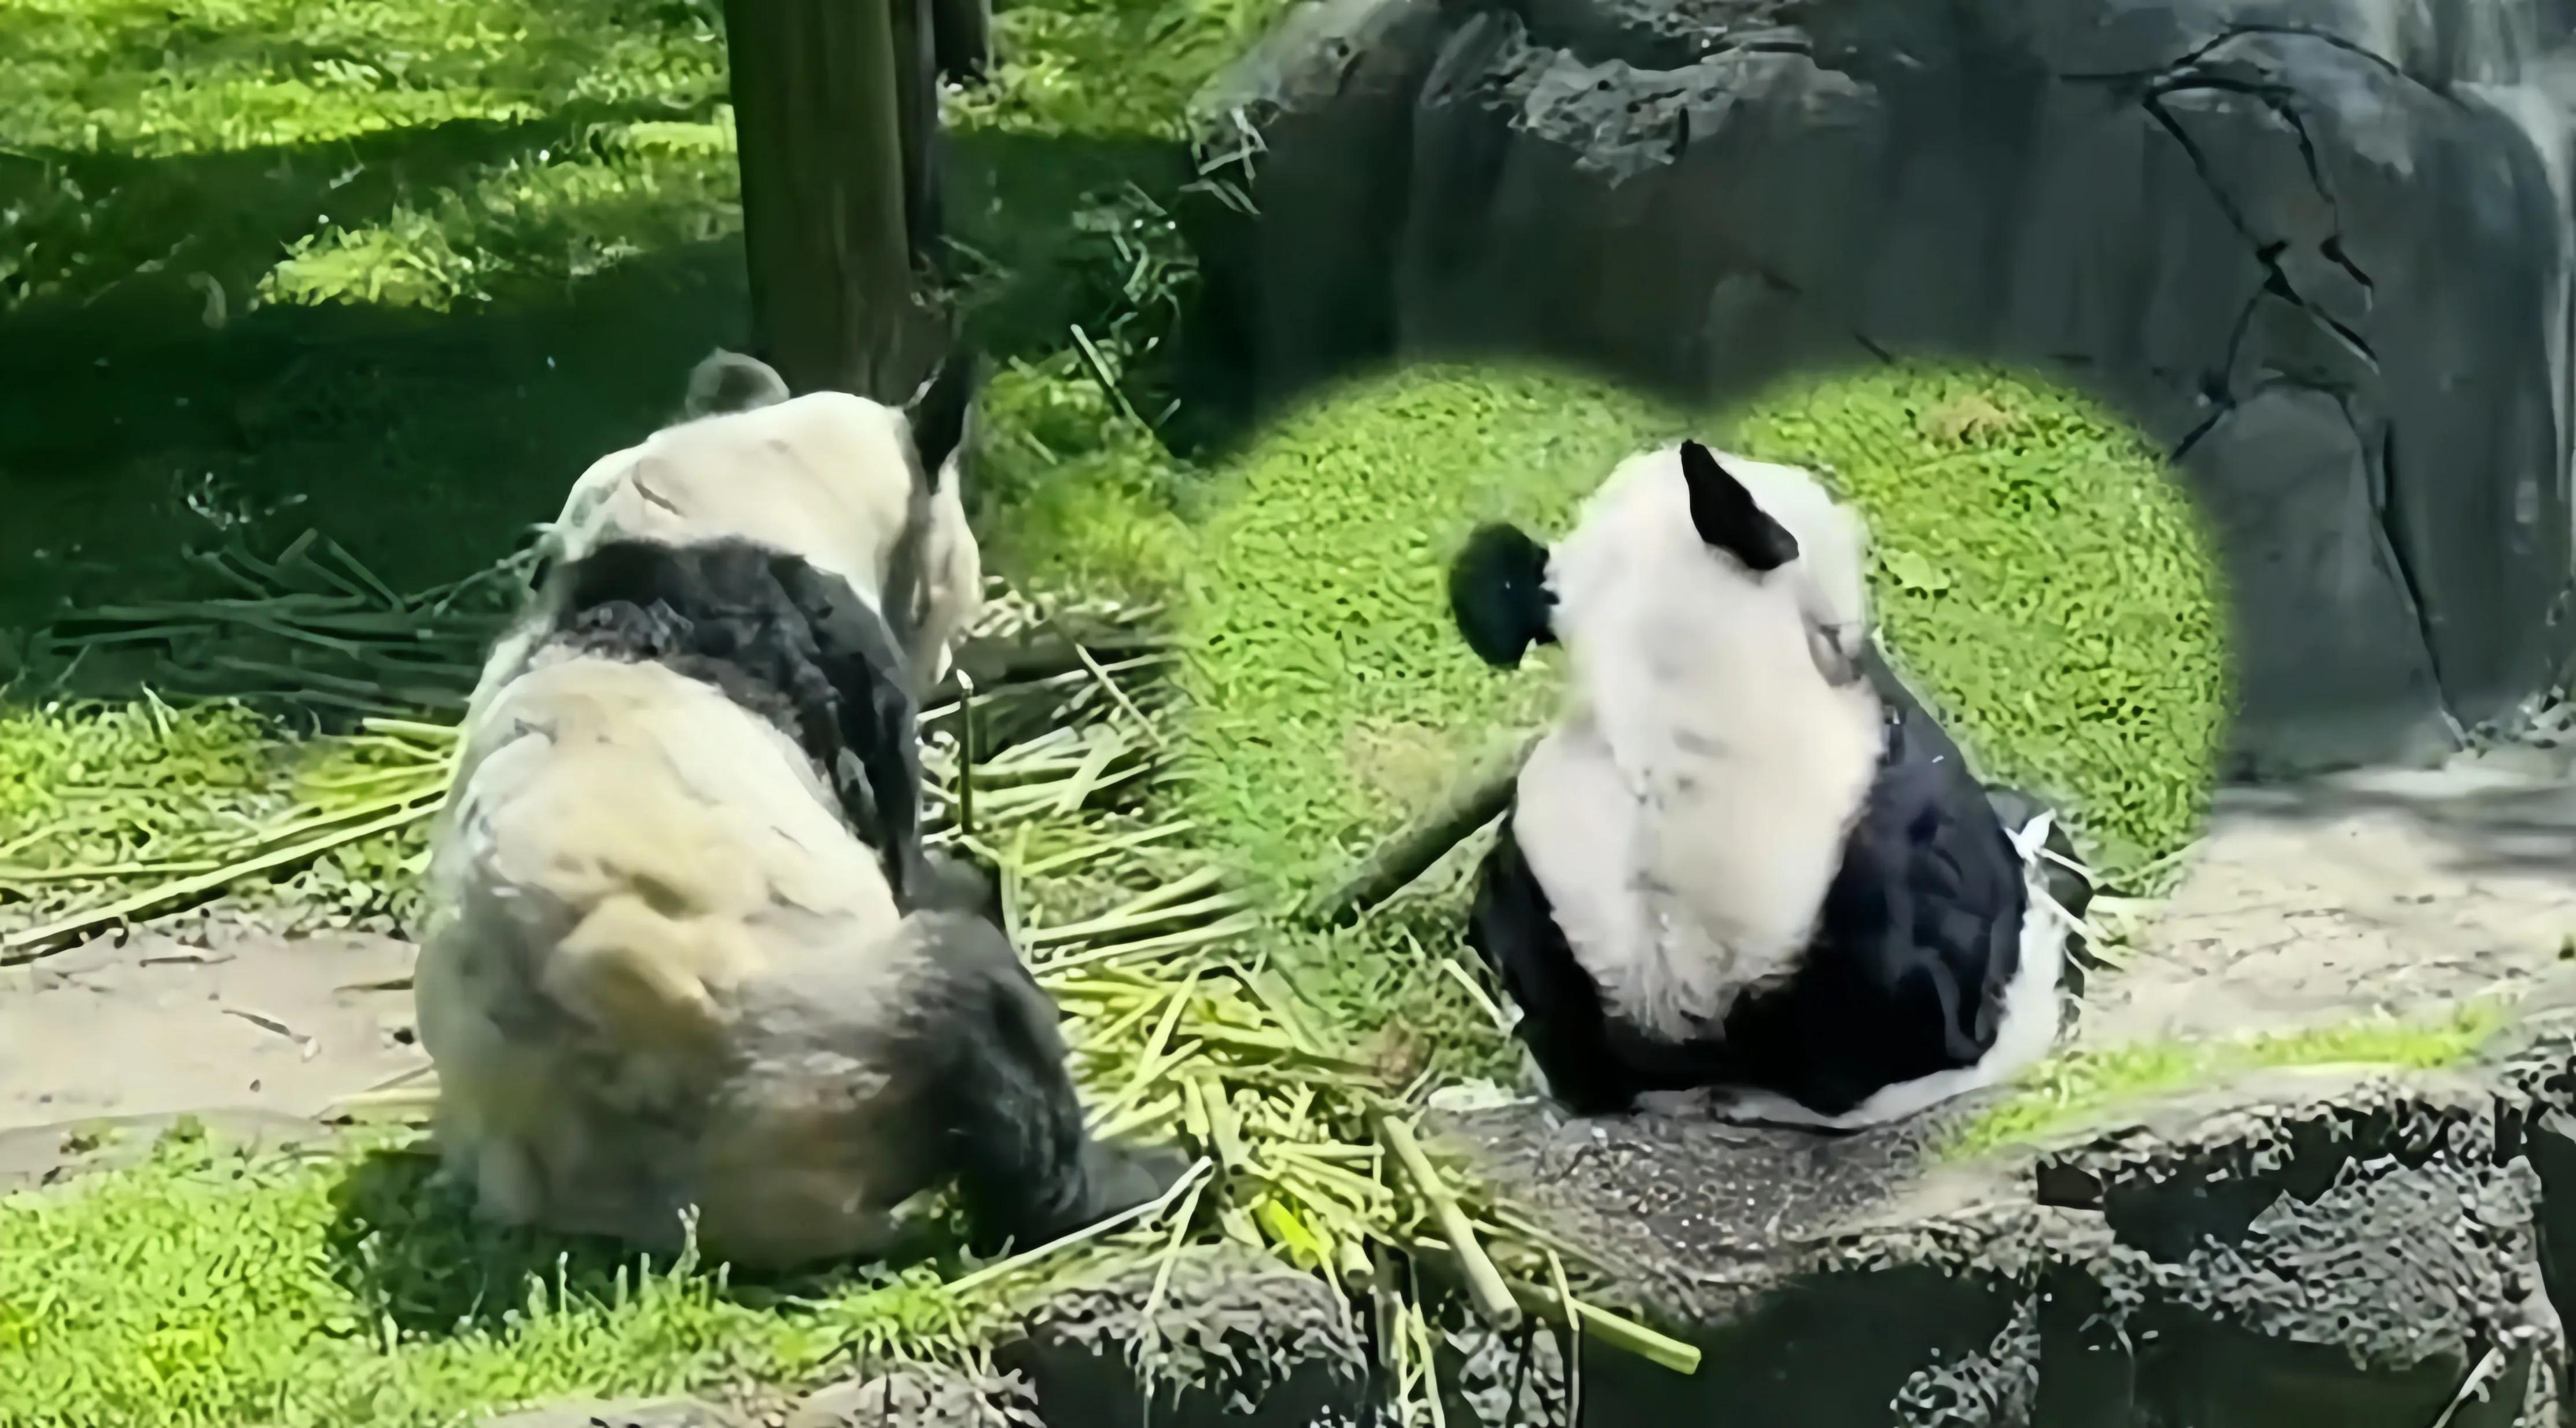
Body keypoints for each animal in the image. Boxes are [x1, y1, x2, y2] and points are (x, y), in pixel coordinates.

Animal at [414, 352, 1182, 1270]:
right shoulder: (846, 668)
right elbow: (906, 852)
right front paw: (961, 871)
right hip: (812, 1044)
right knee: (974, 1007)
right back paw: (1135, 1176)